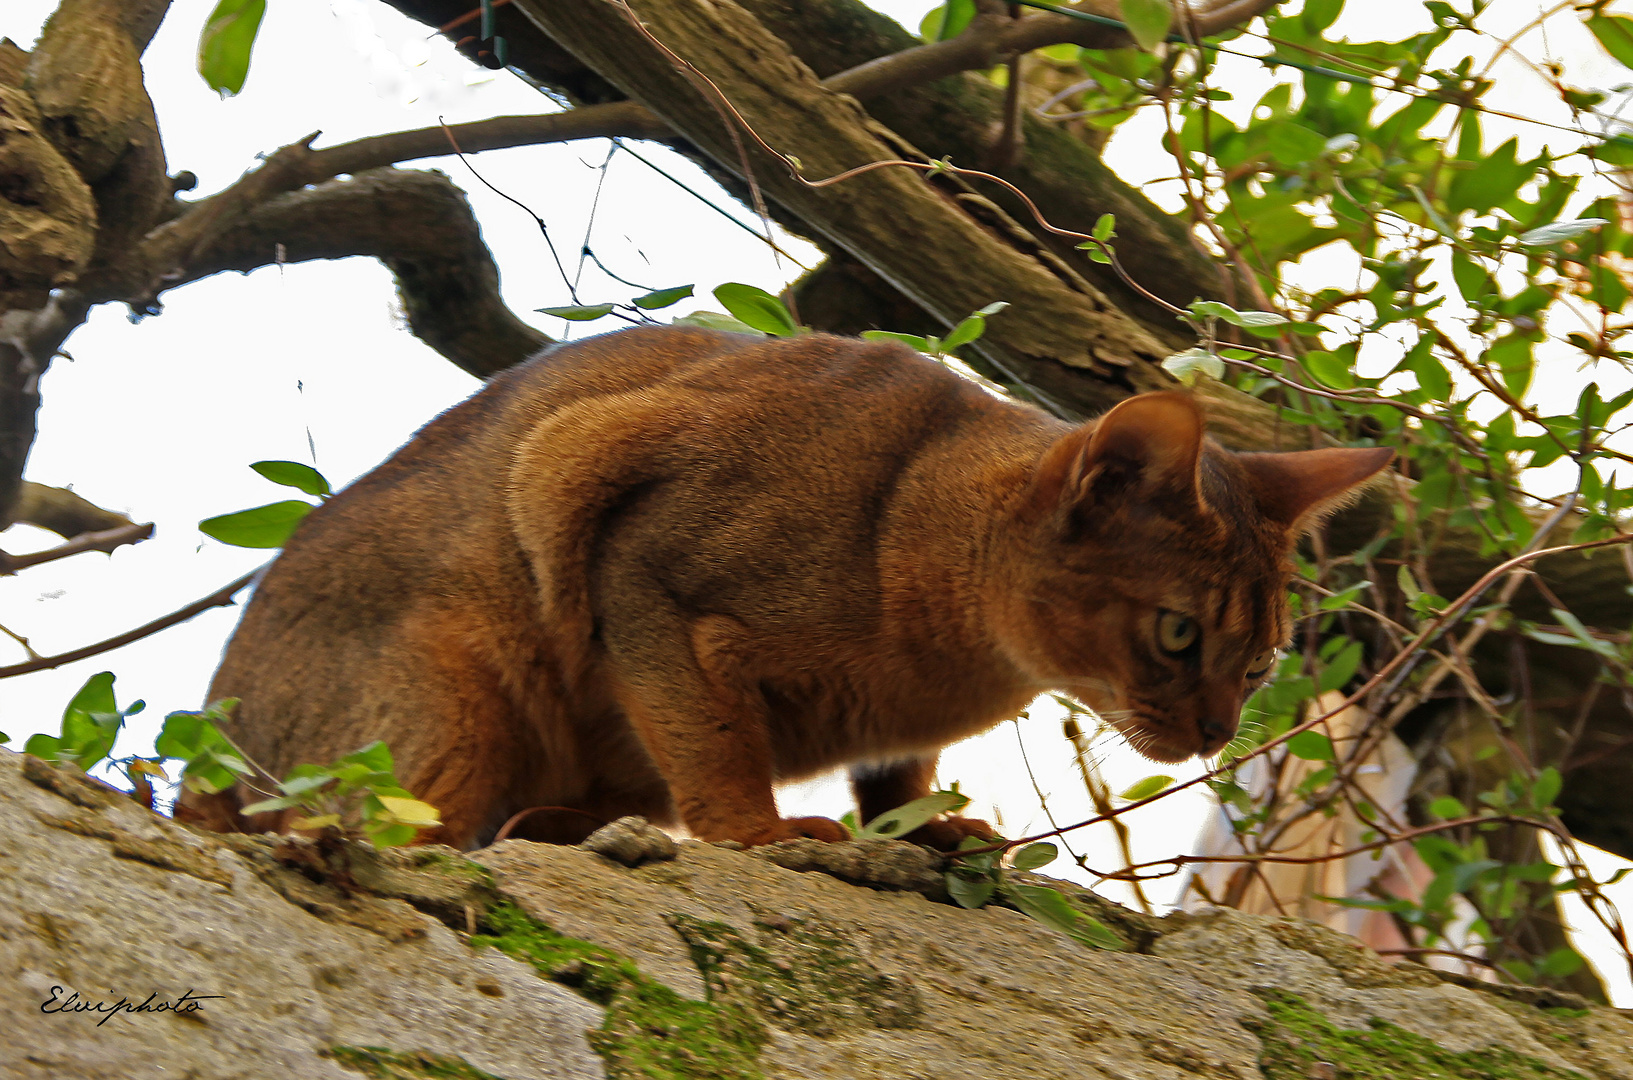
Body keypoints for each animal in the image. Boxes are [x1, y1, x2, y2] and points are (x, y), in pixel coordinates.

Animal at [187, 325, 1391, 849]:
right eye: (1179, 634)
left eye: (1259, 661)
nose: (1214, 733)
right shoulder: (607, 513)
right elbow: (716, 742)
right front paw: (759, 834)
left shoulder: (905, 732)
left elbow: (900, 782)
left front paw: (924, 834)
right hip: (458, 697)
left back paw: (552, 825)